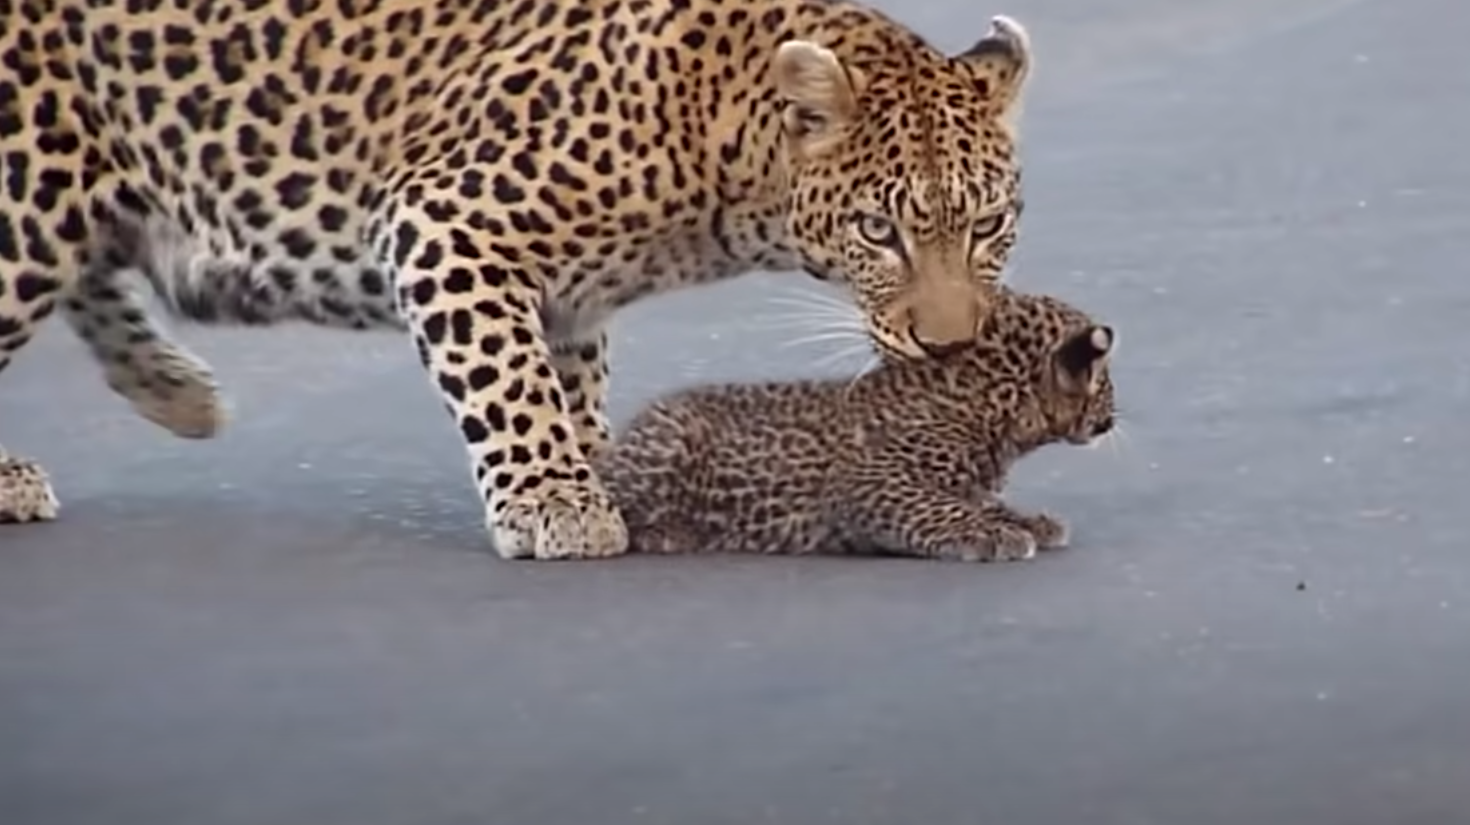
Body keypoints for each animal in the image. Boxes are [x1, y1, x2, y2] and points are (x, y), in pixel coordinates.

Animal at [0, 0, 1035, 560]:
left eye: (987, 224)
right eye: (879, 232)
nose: (950, 345)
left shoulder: (567, 292)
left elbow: (559, 383)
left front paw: (601, 473)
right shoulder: (442, 219)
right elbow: (508, 379)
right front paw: (556, 503)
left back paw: (175, 390)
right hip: (30, 180)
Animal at [595, 287, 1117, 562]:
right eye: (1104, 379)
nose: (1113, 417)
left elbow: (982, 501)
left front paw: (1027, 521)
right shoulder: (869, 479)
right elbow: (938, 507)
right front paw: (992, 534)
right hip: (669, 445)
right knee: (622, 503)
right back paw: (666, 533)